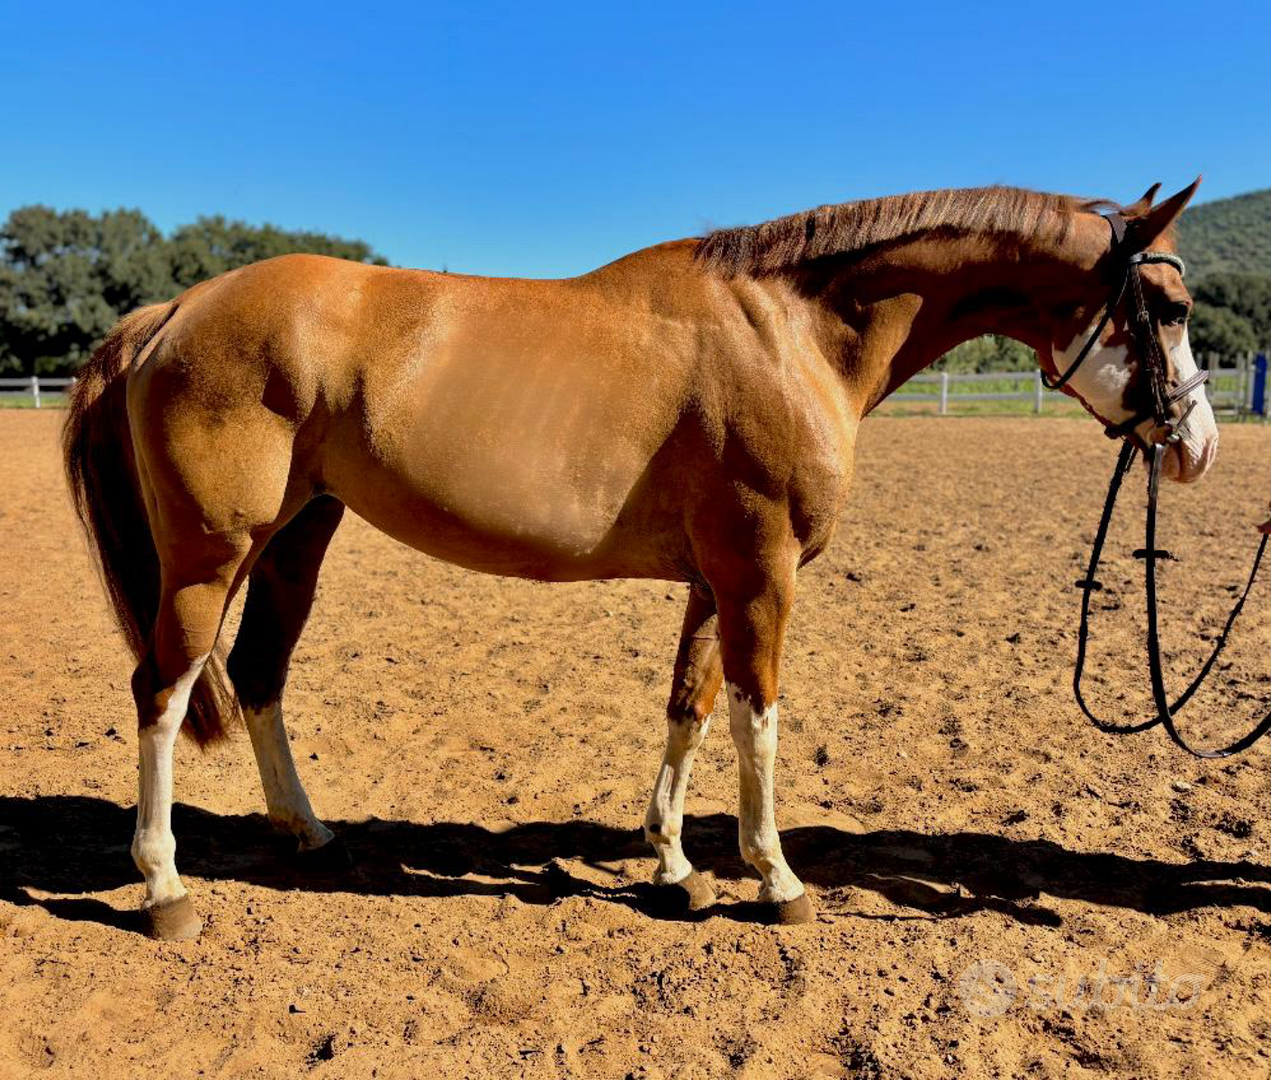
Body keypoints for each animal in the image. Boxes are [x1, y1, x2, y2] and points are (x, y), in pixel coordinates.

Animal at [63, 179, 1217, 940]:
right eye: (1164, 310)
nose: (1195, 446)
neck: (786, 332)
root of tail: (174, 311)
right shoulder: (761, 571)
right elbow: (756, 719)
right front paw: (773, 879)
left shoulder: (716, 577)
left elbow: (689, 709)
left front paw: (672, 865)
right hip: (210, 554)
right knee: (163, 690)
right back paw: (164, 889)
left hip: (298, 537)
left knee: (257, 675)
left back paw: (307, 834)